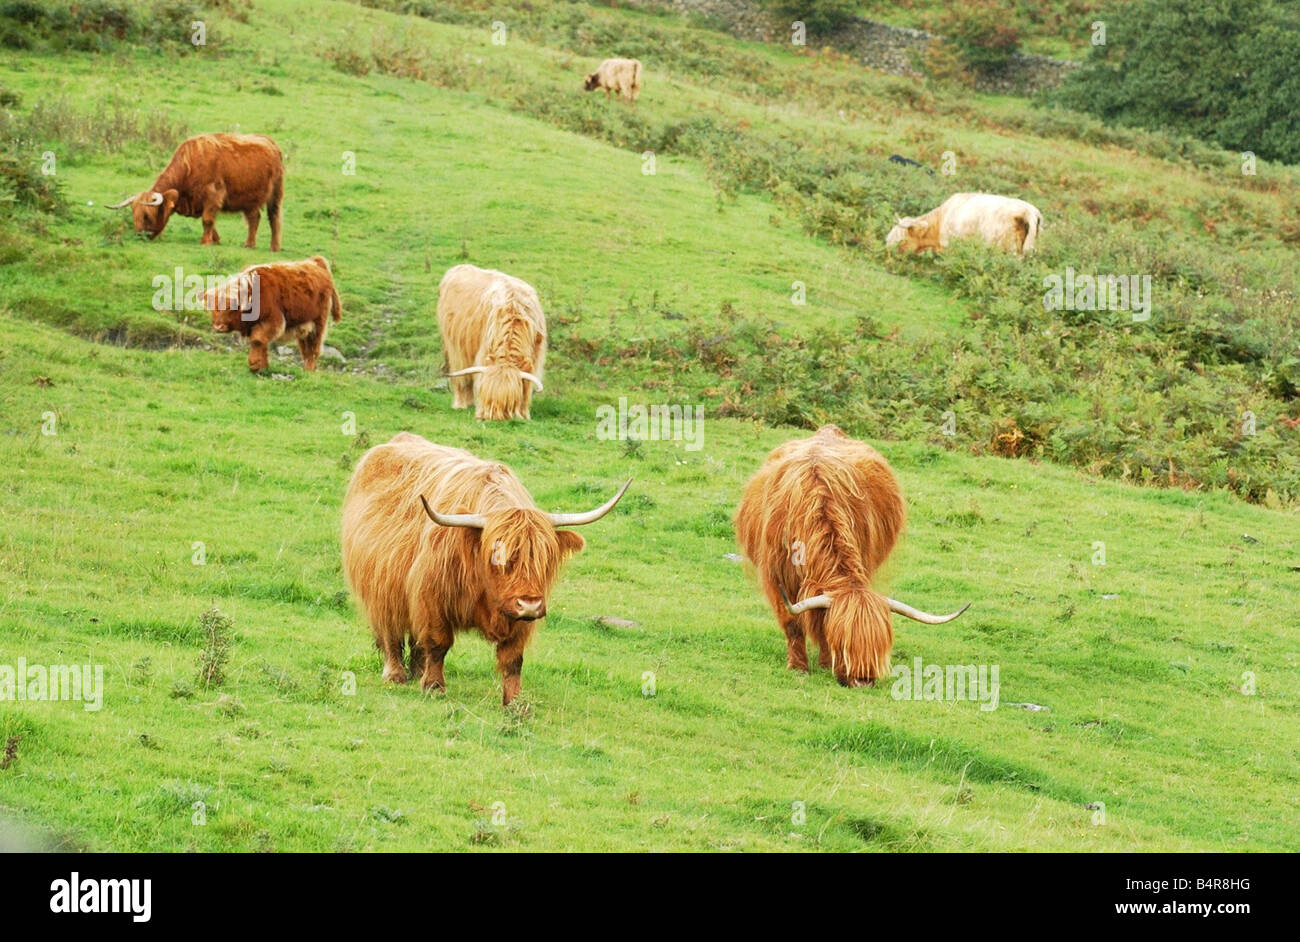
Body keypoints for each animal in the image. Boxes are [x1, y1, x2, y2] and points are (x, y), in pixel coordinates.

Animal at [107, 133, 284, 250]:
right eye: (134, 214)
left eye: (147, 215)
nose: (139, 236)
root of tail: (271, 143)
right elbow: (211, 223)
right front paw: (215, 240)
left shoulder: (213, 196)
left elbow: (207, 220)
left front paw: (205, 242)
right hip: (249, 199)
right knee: (254, 218)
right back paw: (249, 244)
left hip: (275, 194)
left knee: (273, 218)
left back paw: (274, 247)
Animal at [205, 255, 341, 372]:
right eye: (214, 308)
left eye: (232, 307)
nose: (218, 327)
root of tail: (316, 262)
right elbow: (261, 343)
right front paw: (262, 366)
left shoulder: (273, 321)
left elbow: (257, 340)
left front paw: (255, 365)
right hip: (304, 325)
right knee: (305, 348)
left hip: (318, 324)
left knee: (314, 348)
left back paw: (308, 370)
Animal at [341, 432, 630, 705]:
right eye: (498, 557)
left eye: (544, 557)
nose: (530, 605)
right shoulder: (432, 597)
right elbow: (438, 643)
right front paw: (434, 687)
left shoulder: (518, 618)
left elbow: (513, 659)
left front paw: (514, 702)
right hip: (380, 586)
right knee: (390, 630)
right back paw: (396, 674)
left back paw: (416, 672)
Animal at [437, 264, 546, 421]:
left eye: (509, 404)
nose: (493, 418)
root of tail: (459, 267)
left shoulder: (534, 356)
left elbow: (527, 387)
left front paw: (524, 414)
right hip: (454, 348)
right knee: (460, 378)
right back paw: (461, 404)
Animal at [735, 425, 969, 687]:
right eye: (843, 644)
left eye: (879, 647)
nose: (863, 681)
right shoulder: (777, 577)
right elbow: (793, 623)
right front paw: (798, 667)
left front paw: (824, 662)